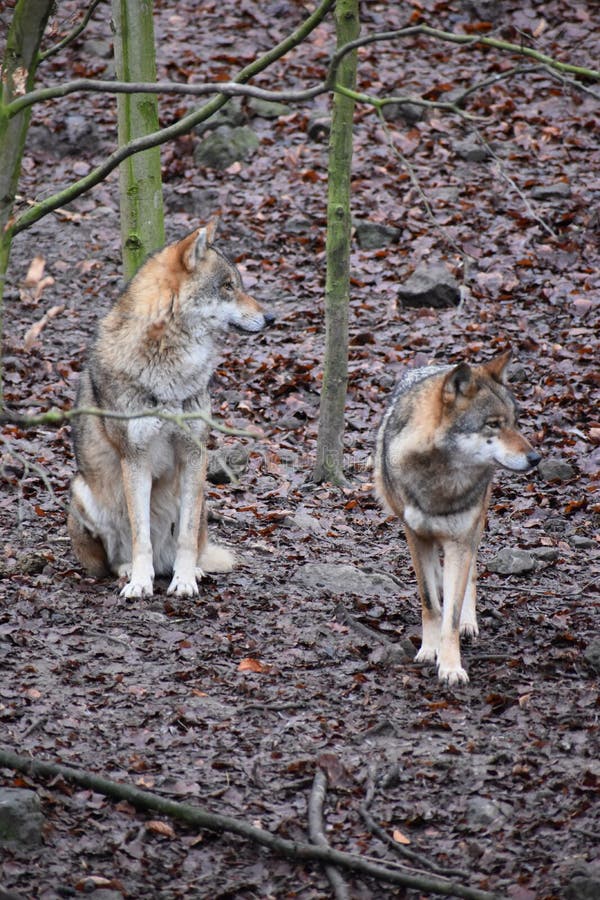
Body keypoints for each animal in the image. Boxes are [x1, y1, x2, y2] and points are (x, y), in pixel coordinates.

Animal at [68, 219, 273, 599]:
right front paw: (139, 582)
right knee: (111, 560)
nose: (271, 317)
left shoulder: (195, 452)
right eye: (227, 287)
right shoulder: (135, 457)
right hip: (81, 491)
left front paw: (185, 580)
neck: (169, 363)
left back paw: (190, 570)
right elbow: (141, 535)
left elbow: (188, 535)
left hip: (203, 501)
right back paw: (127, 571)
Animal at [374, 351, 541, 685]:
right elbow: (430, 602)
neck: (441, 480)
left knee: (471, 575)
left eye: (515, 422)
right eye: (493, 425)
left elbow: (450, 611)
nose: (536, 458)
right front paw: (429, 650)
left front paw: (450, 666)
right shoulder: (415, 536)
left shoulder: (459, 540)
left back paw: (468, 622)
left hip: (473, 529)